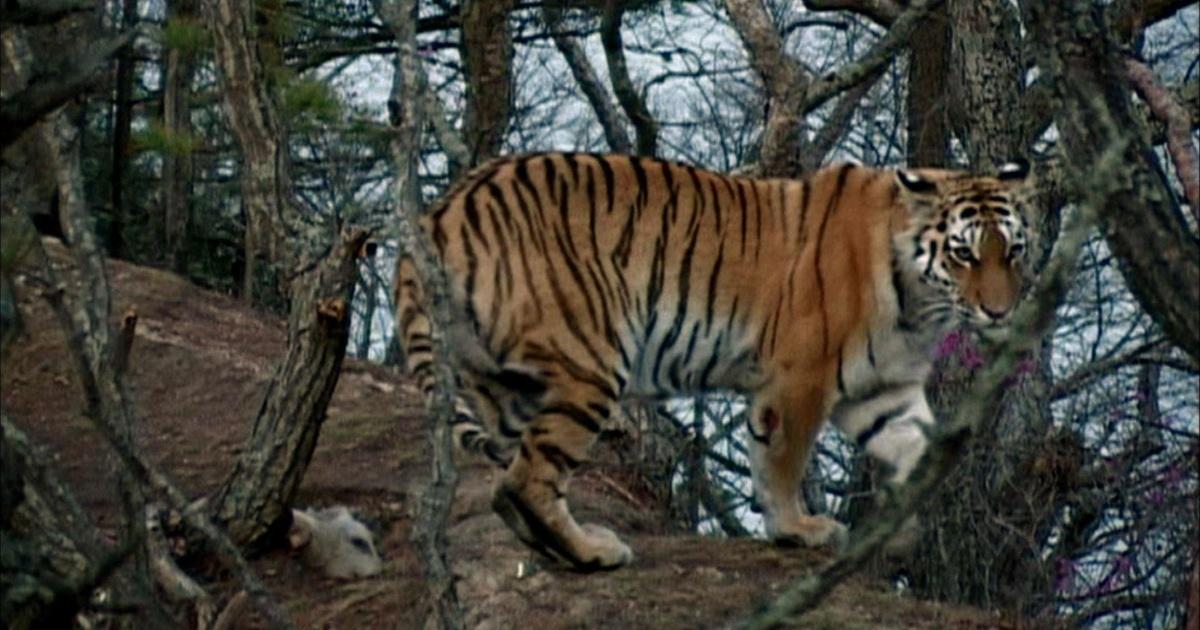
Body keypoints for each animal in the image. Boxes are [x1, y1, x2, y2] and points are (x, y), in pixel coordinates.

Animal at [393, 152, 1037, 571]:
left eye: (1013, 251)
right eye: (963, 255)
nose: (1002, 311)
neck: (918, 302)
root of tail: (442, 209)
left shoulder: (884, 390)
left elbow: (919, 450)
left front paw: (898, 534)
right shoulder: (798, 380)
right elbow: (781, 462)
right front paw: (797, 530)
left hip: (504, 384)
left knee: (511, 474)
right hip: (590, 365)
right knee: (525, 481)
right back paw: (595, 552)